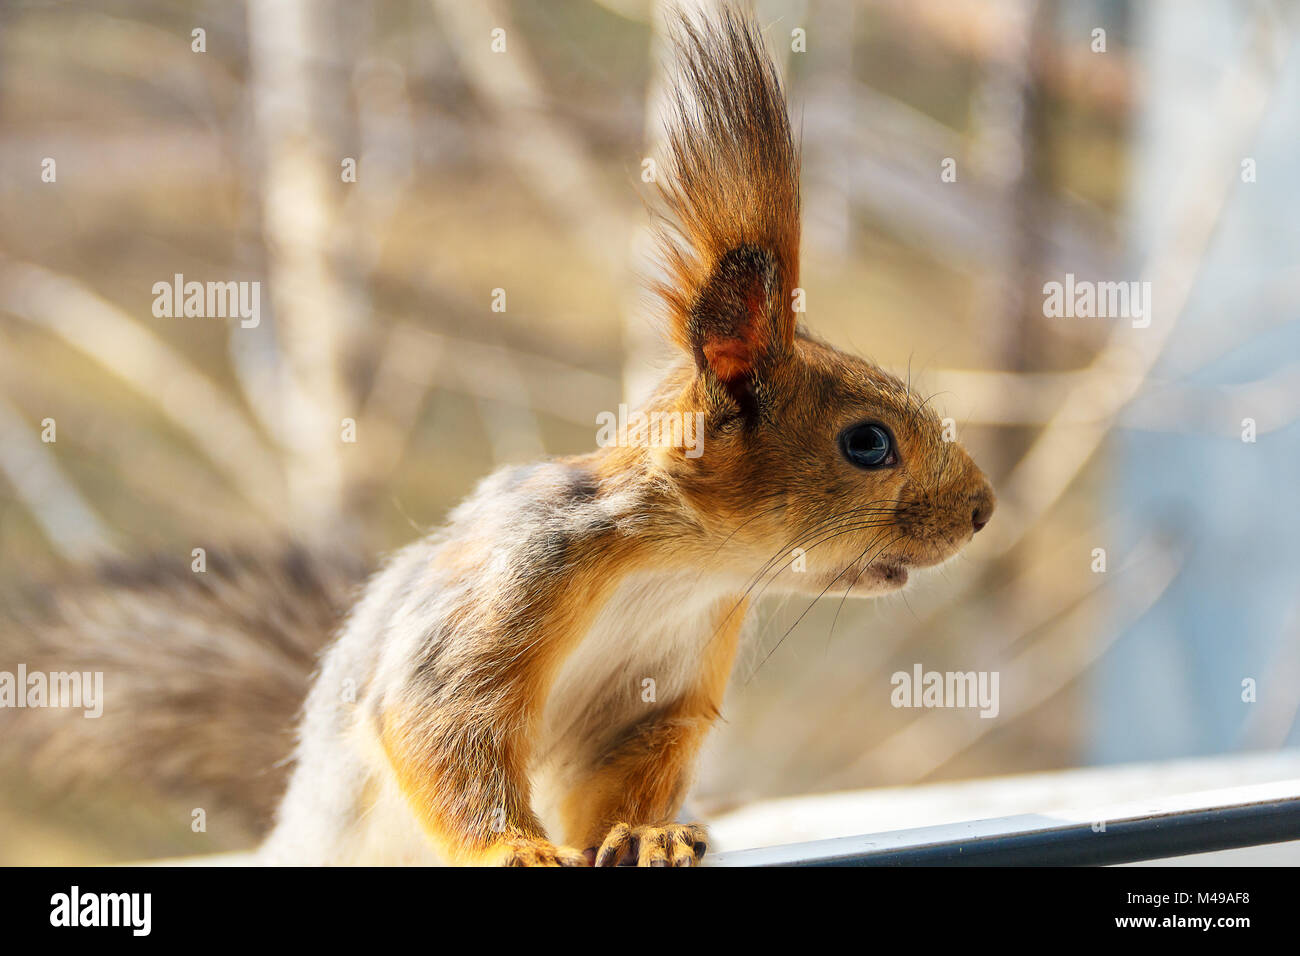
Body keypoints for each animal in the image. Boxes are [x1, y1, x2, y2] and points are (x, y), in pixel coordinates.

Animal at [1, 5, 993, 866]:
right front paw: (513, 848)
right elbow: (445, 725)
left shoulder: (665, 687)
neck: (678, 566)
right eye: (867, 443)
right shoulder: (517, 581)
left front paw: (651, 834)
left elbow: (626, 775)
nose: (984, 511)